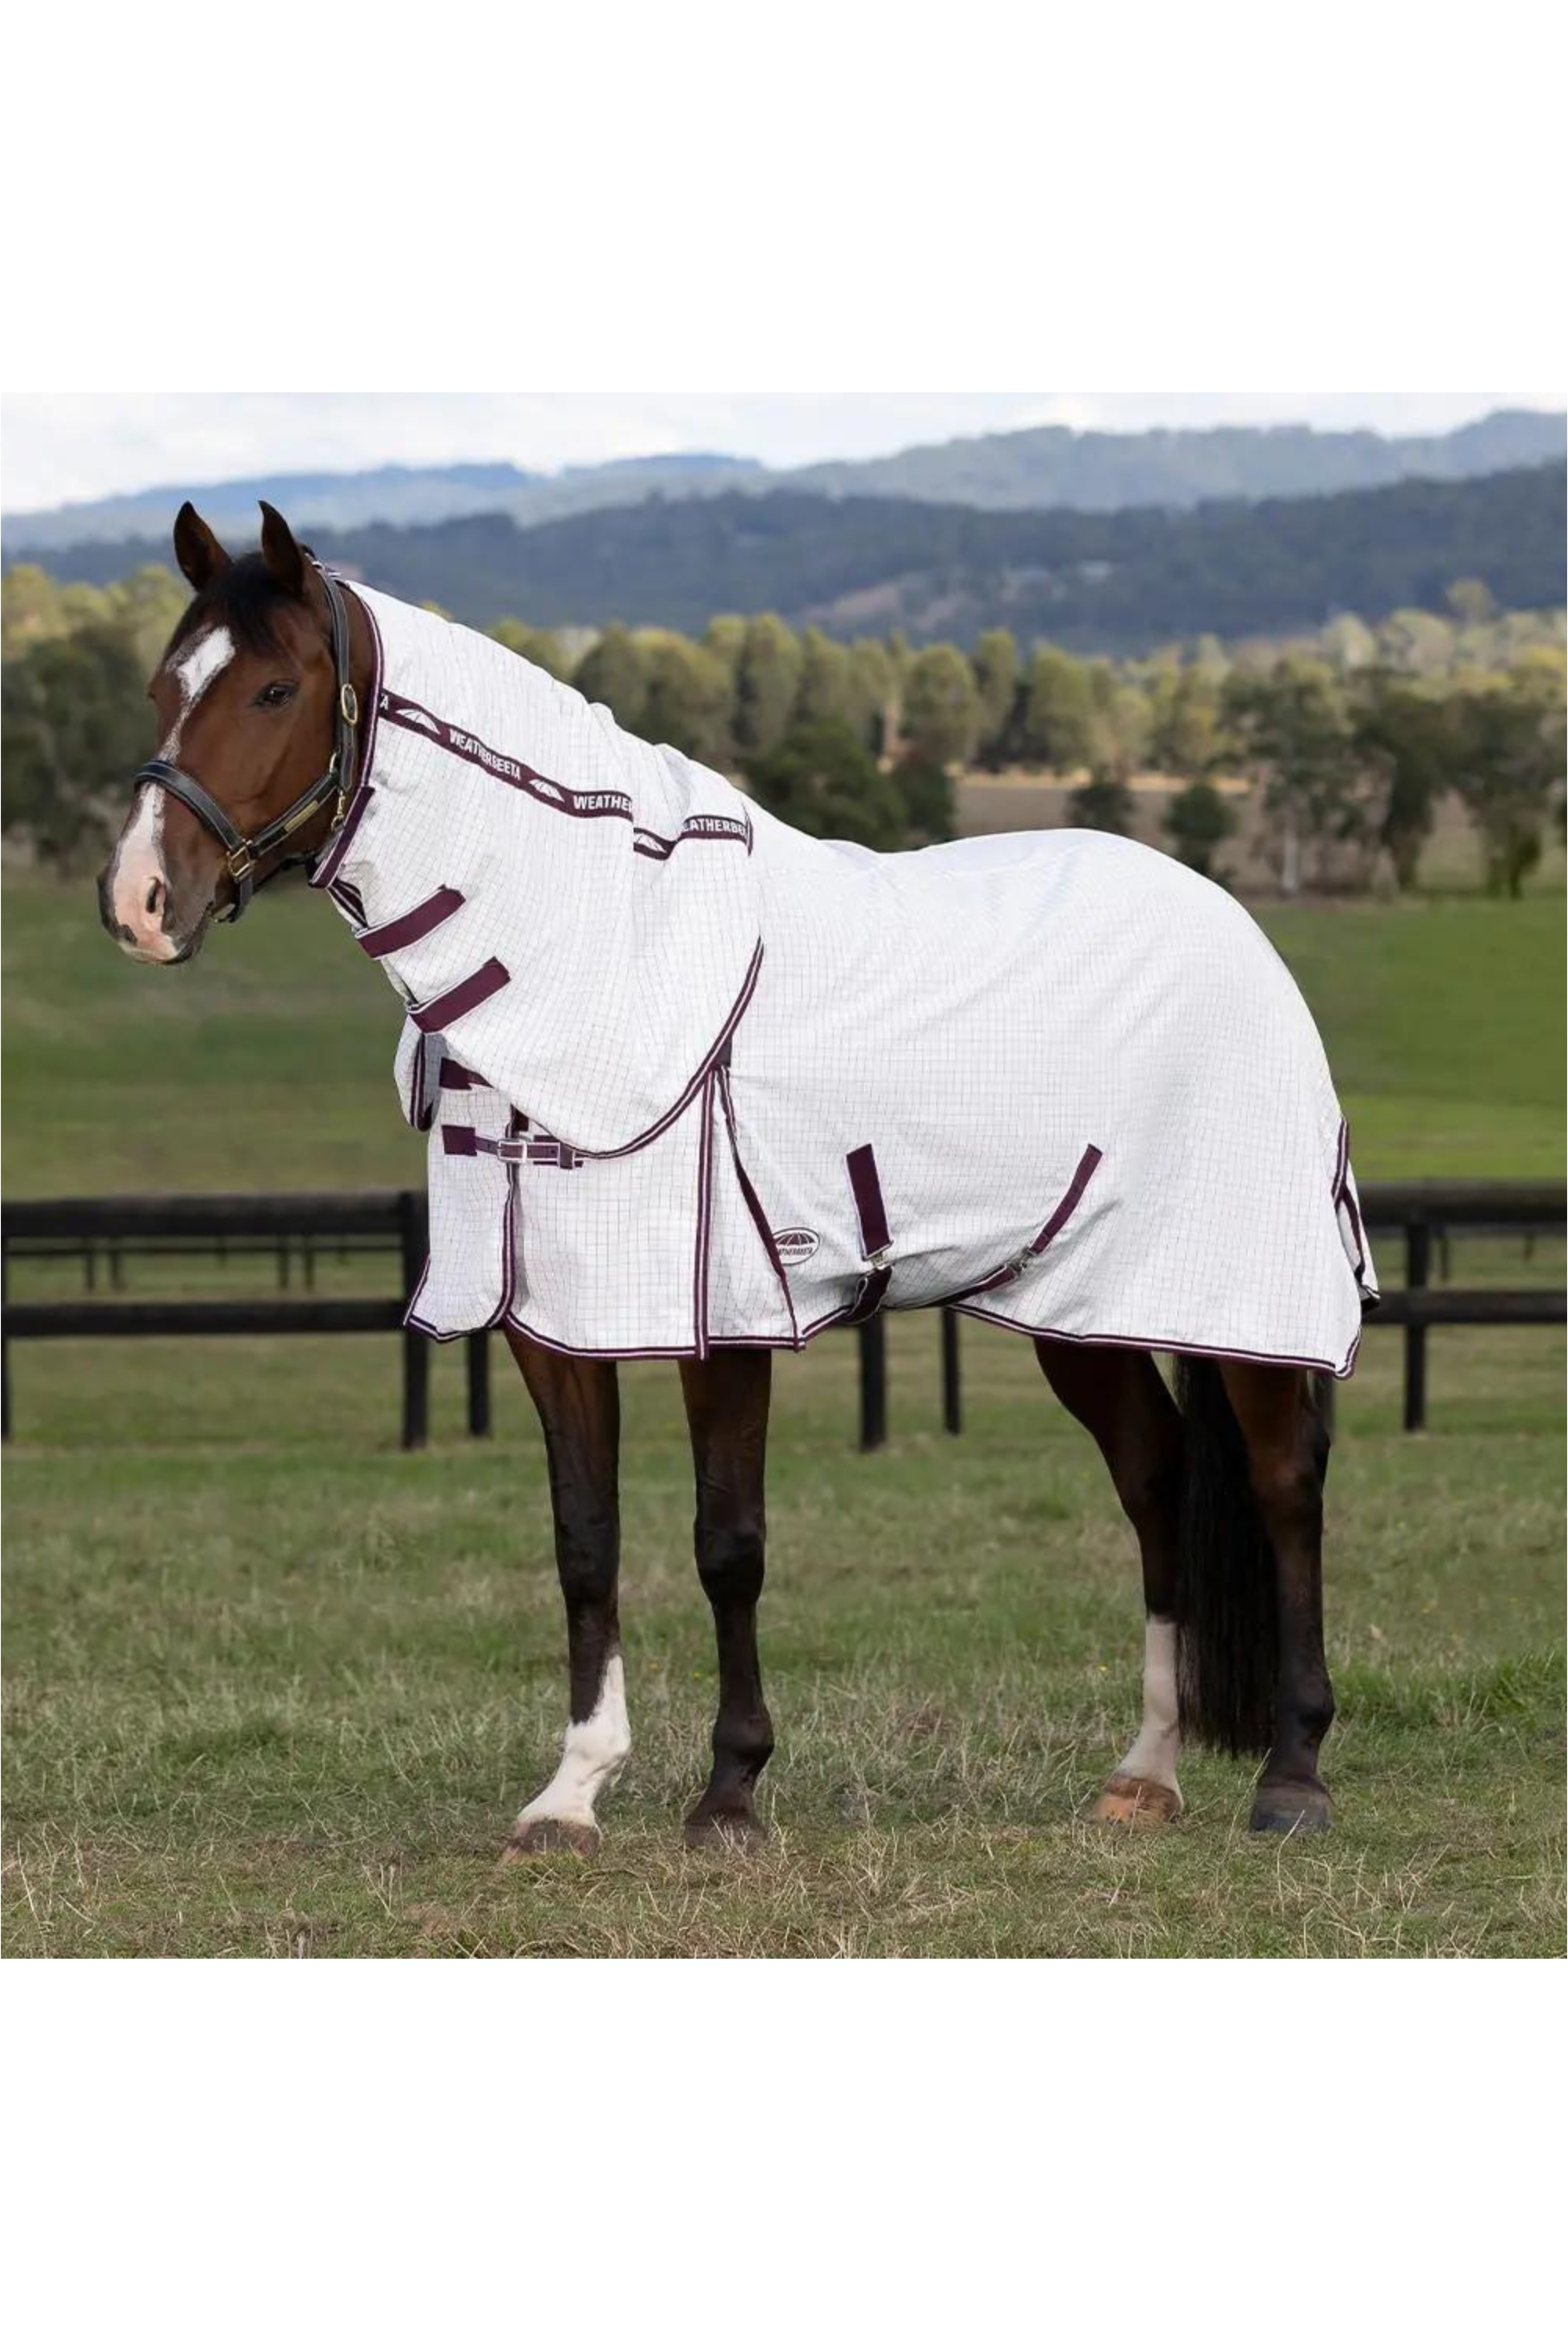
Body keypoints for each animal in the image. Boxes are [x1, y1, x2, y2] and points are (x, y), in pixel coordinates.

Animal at [98, 499, 1375, 1851]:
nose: (138, 900)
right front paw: (571, 1790)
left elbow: (728, 1541)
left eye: (274, 687)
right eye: (163, 684)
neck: (596, 948)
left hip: (1240, 1290)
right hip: (1075, 1306)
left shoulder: (723, 1315)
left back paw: (1292, 1773)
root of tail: (1229, 920)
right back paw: (1147, 1767)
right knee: (1155, 1479)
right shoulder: (550, 1321)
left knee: (1284, 1486)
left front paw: (729, 1790)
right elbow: (586, 1539)